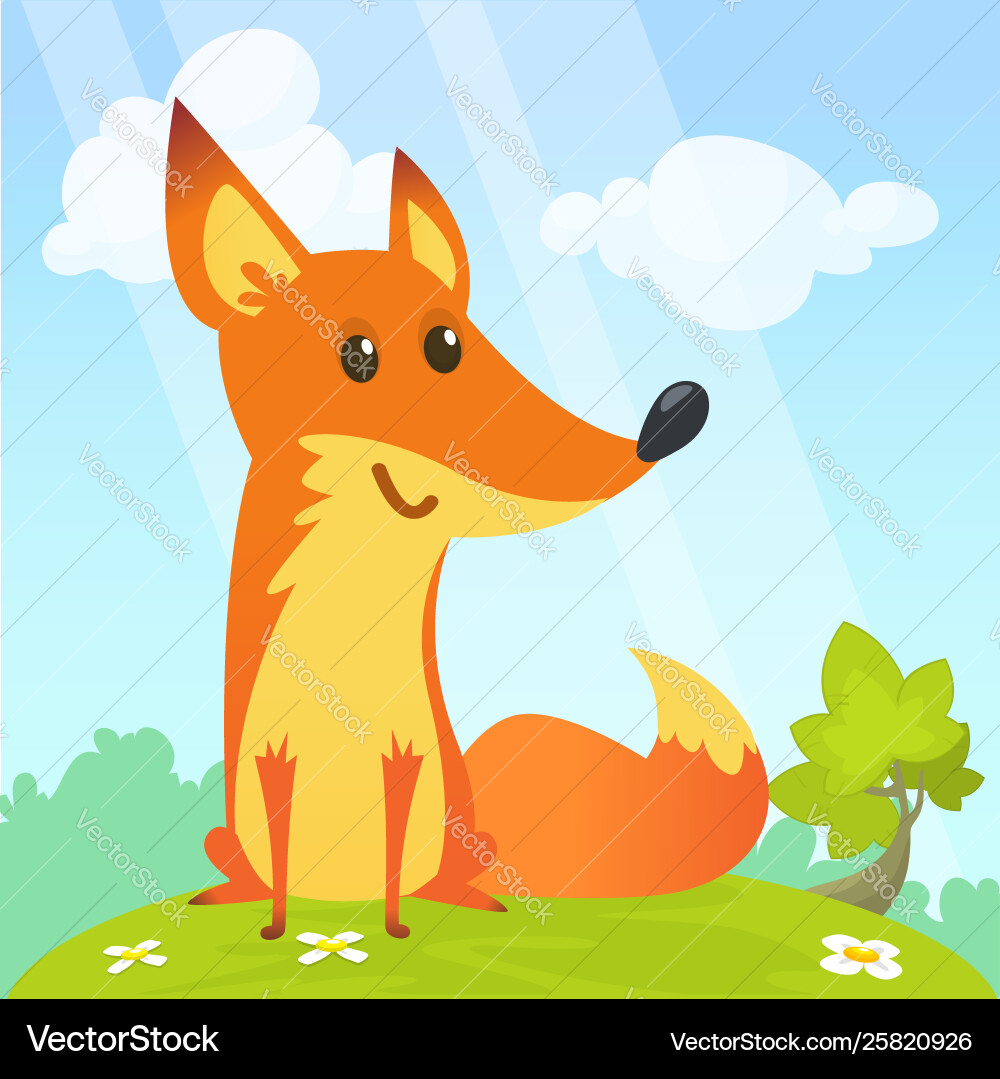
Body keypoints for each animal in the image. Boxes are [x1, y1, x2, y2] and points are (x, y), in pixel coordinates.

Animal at [165, 99, 768, 940]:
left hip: (454, 821)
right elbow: (280, 856)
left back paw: (466, 897)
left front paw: (396, 931)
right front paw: (277, 931)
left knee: (459, 866)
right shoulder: (270, 760)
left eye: (450, 341)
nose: (671, 418)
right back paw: (235, 894)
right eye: (357, 356)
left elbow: (394, 850)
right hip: (230, 830)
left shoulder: (408, 758)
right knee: (244, 859)